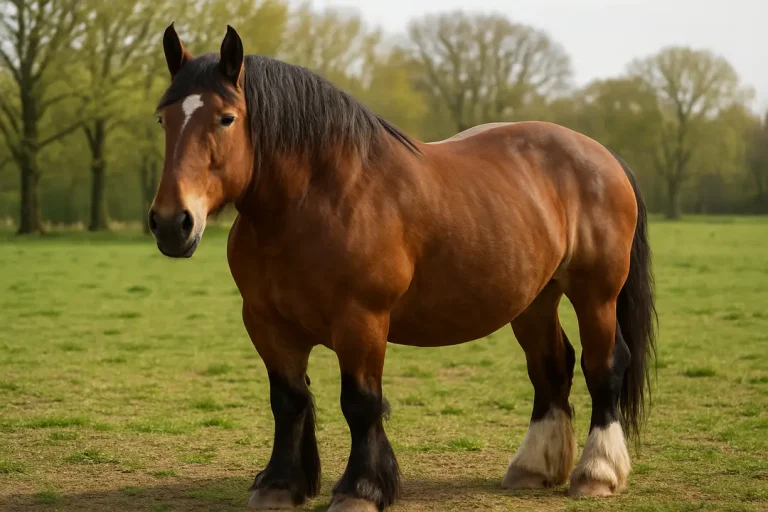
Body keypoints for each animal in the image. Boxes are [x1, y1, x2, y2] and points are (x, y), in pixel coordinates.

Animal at [149, 23, 657, 512]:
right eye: (163, 118)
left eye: (226, 118)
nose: (173, 223)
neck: (316, 199)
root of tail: (603, 156)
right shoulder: (267, 323)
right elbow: (288, 400)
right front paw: (280, 485)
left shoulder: (362, 320)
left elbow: (360, 403)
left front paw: (362, 489)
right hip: (535, 300)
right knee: (551, 367)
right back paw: (533, 469)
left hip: (596, 294)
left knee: (604, 365)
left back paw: (597, 473)